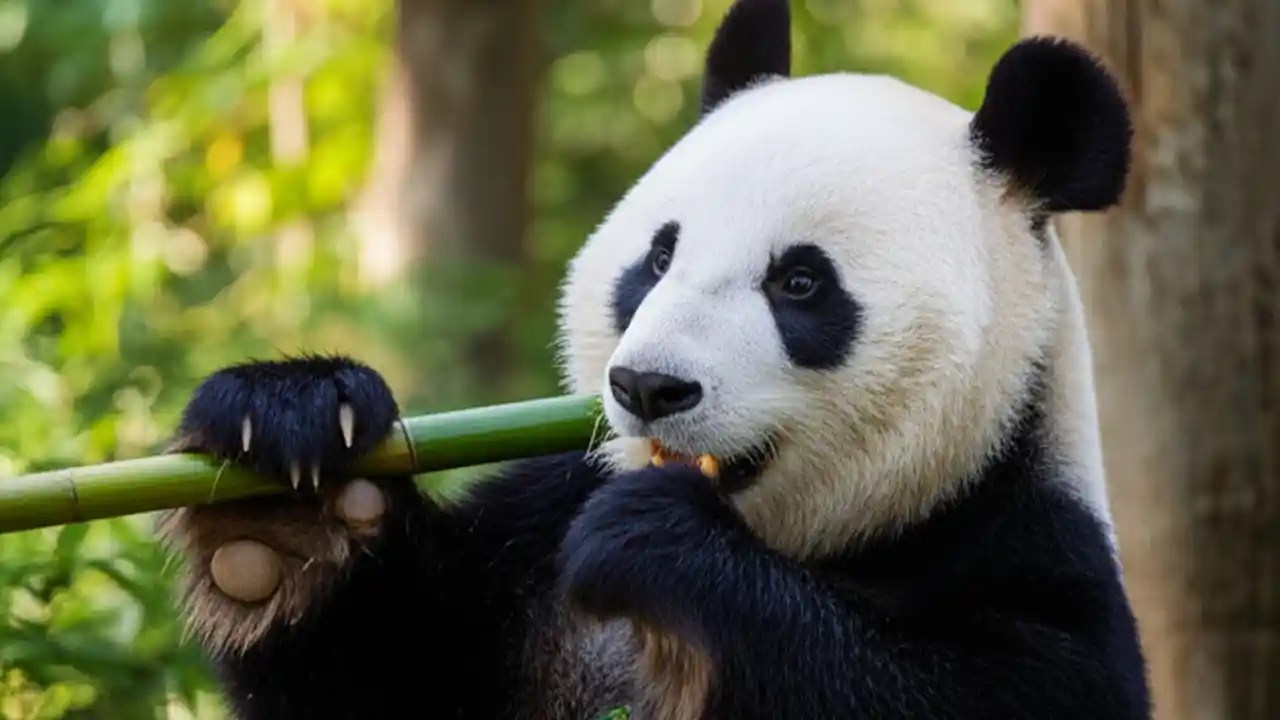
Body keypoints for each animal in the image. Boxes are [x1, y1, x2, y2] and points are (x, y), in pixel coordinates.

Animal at [156, 1, 1151, 718]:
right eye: (659, 257)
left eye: (800, 283)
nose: (648, 387)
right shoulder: (538, 530)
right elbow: (396, 668)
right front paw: (290, 491)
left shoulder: (1028, 557)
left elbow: (944, 687)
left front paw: (661, 545)